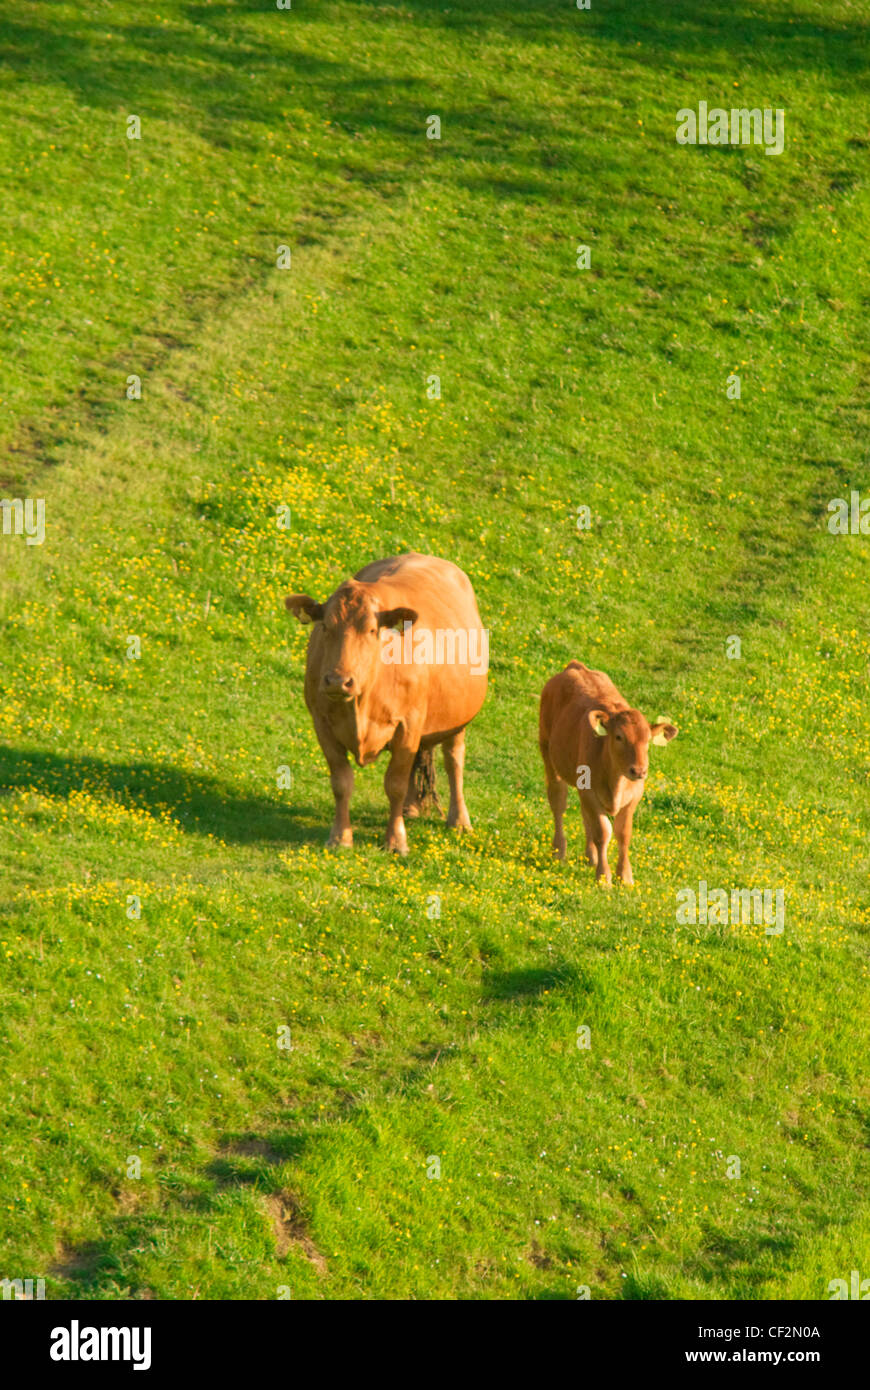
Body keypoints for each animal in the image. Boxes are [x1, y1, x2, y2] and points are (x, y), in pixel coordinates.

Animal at [285, 553, 488, 854]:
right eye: (325, 626)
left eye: (371, 630)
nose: (338, 681)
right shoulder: (322, 723)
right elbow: (341, 783)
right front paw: (340, 837)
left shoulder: (408, 725)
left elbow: (395, 784)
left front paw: (396, 841)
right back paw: (411, 809)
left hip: (457, 720)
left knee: (454, 761)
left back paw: (459, 820)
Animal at [538, 661, 677, 885]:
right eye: (619, 736)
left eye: (647, 740)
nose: (639, 770)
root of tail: (575, 666)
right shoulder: (590, 793)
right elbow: (603, 832)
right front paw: (604, 877)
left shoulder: (633, 796)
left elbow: (623, 833)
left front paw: (625, 876)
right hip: (547, 751)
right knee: (558, 801)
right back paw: (559, 849)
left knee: (584, 814)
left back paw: (591, 856)